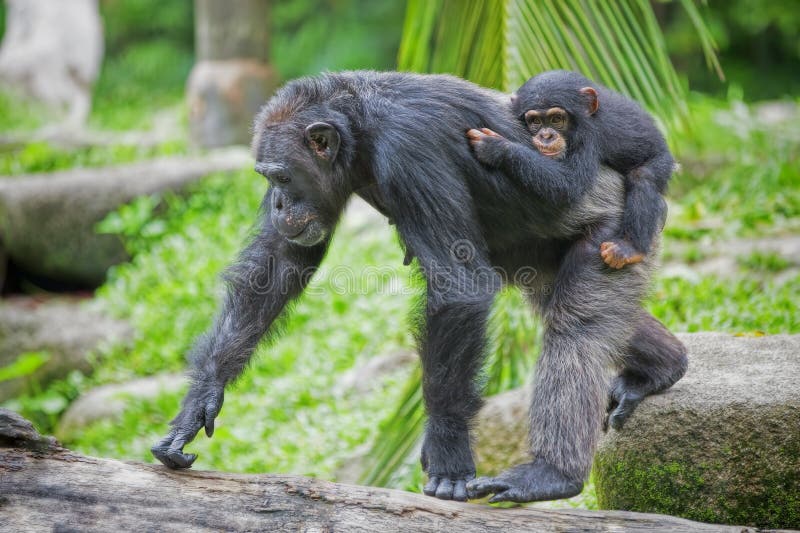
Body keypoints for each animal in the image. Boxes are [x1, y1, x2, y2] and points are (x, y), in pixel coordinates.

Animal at [467, 70, 674, 270]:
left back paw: (629, 248)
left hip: (662, 160)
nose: (546, 136)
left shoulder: (588, 137)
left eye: (556, 119)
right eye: (535, 121)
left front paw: (497, 147)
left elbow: (569, 184)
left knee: (643, 176)